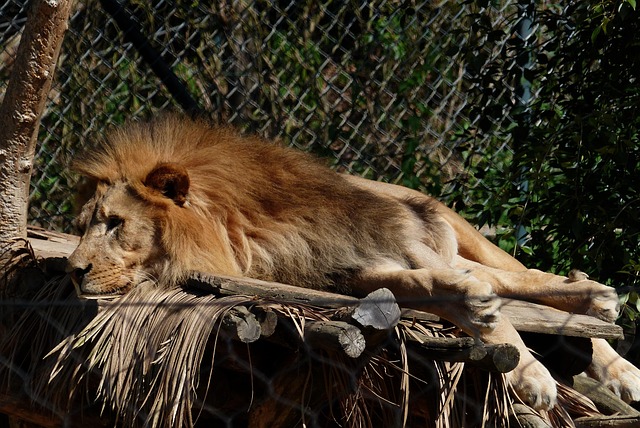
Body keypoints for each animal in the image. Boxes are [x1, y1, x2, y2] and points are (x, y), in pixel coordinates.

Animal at [67, 114, 640, 410]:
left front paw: (531, 372)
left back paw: (613, 340)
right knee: (512, 280)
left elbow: (502, 303)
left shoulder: (404, 243)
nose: (73, 270)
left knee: (523, 274)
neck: (250, 229)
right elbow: (438, 288)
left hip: (453, 227)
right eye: (82, 225)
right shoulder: (350, 271)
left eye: (114, 223)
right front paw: (514, 350)